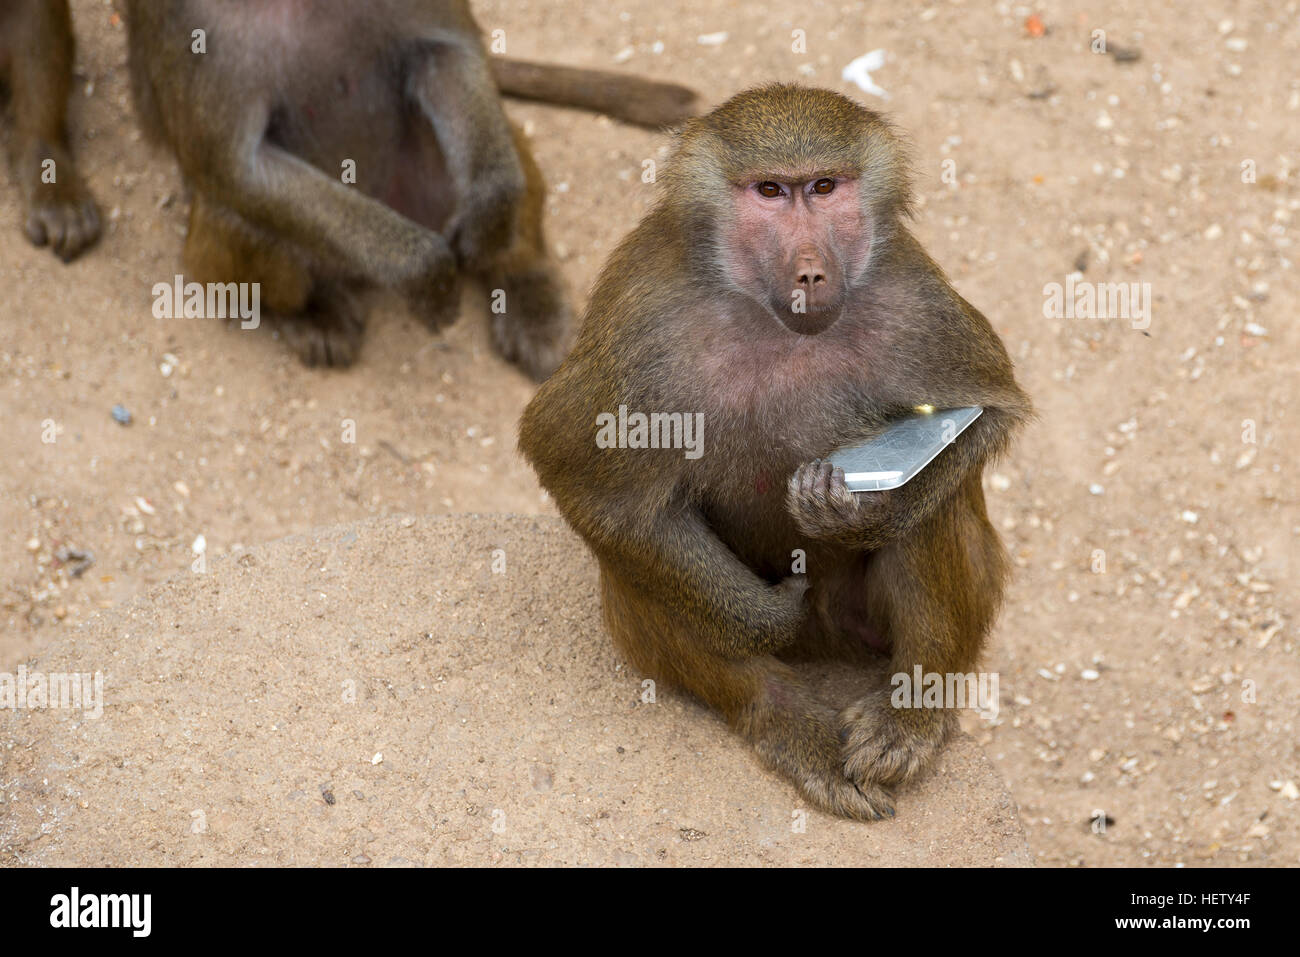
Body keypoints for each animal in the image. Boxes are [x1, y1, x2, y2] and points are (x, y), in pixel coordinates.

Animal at [120, 0, 697, 378]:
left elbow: (447, 51)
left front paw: (491, 218)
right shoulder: (186, 24)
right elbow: (232, 167)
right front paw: (427, 273)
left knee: (503, 149)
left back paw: (524, 286)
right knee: (235, 218)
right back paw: (310, 311)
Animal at [519, 84, 1032, 820]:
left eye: (823, 187)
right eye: (769, 191)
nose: (812, 272)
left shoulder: (914, 300)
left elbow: (990, 411)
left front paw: (855, 516)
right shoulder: (642, 329)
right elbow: (576, 471)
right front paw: (770, 613)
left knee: (939, 501)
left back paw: (910, 710)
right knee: (634, 551)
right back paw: (787, 717)